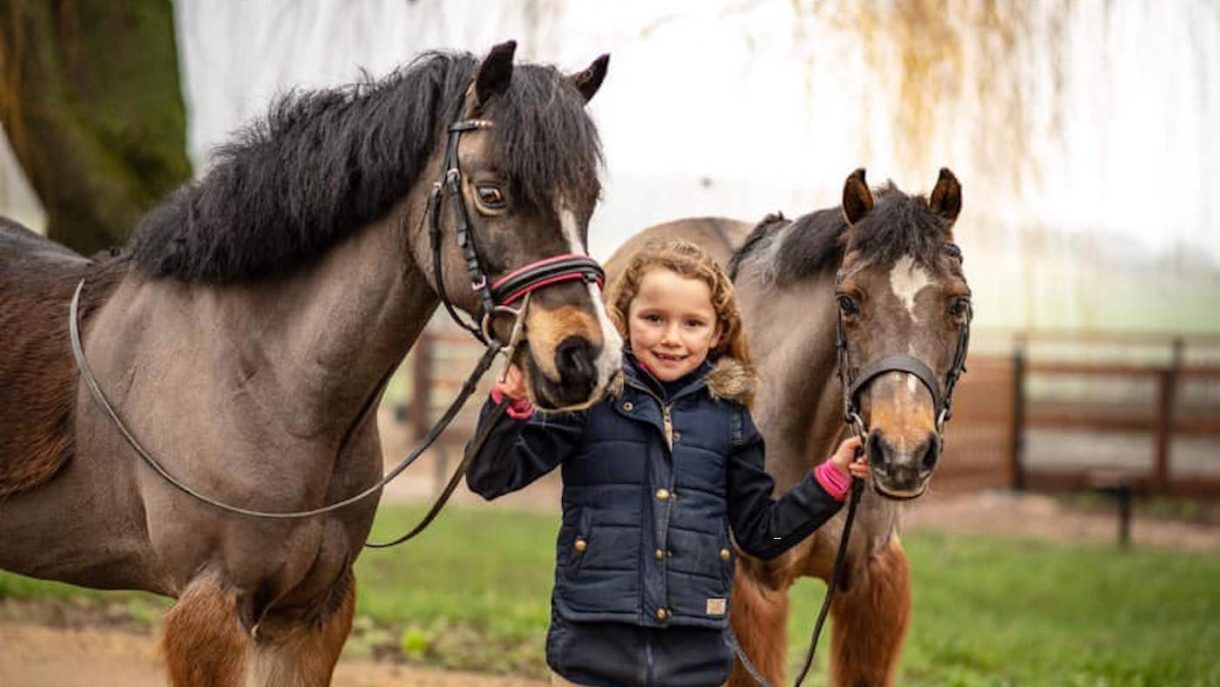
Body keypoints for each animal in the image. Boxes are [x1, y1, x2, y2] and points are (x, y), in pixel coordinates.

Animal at [0, 41, 623, 687]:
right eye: (492, 192)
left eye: (588, 199)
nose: (586, 356)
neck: (264, 380)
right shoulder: (211, 611)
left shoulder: (310, 615)